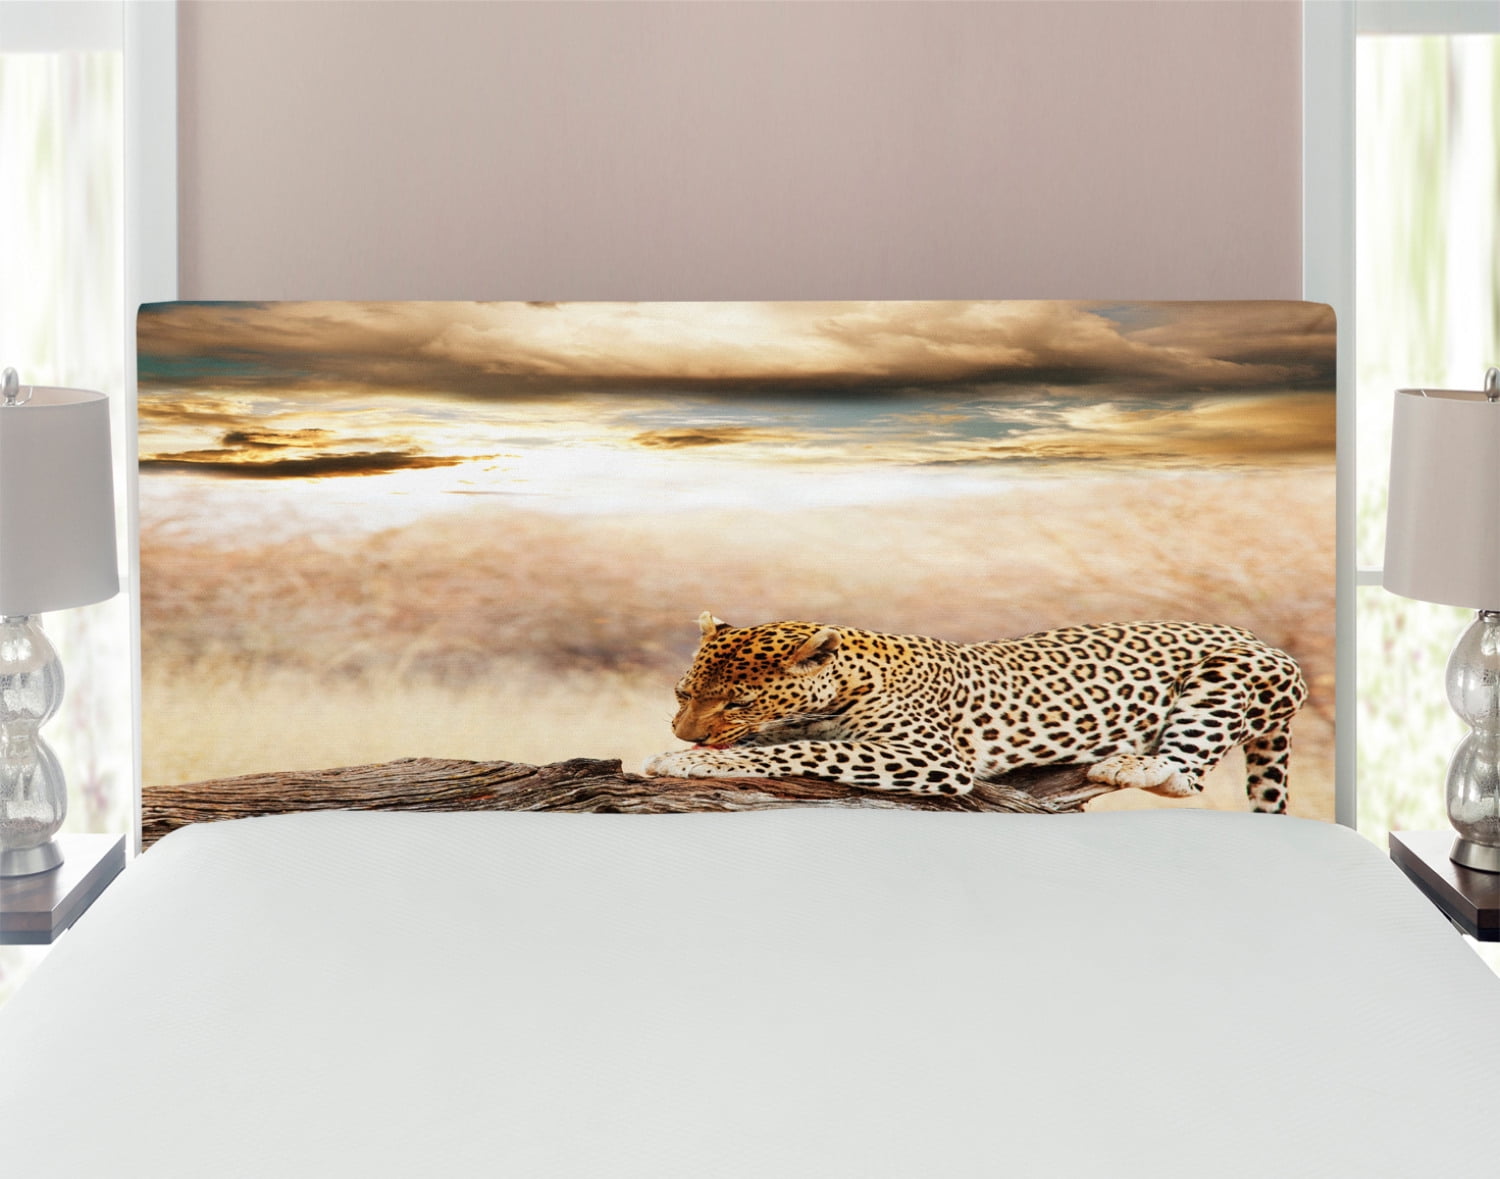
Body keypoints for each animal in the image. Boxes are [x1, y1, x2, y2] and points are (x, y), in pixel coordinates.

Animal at [641, 612, 1309, 813]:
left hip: (1223, 675)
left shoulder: (931, 757)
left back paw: (1133, 766)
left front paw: (684, 762)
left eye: (738, 700)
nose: (682, 730)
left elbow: (805, 751)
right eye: (682, 695)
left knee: (1186, 775)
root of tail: (1256, 635)